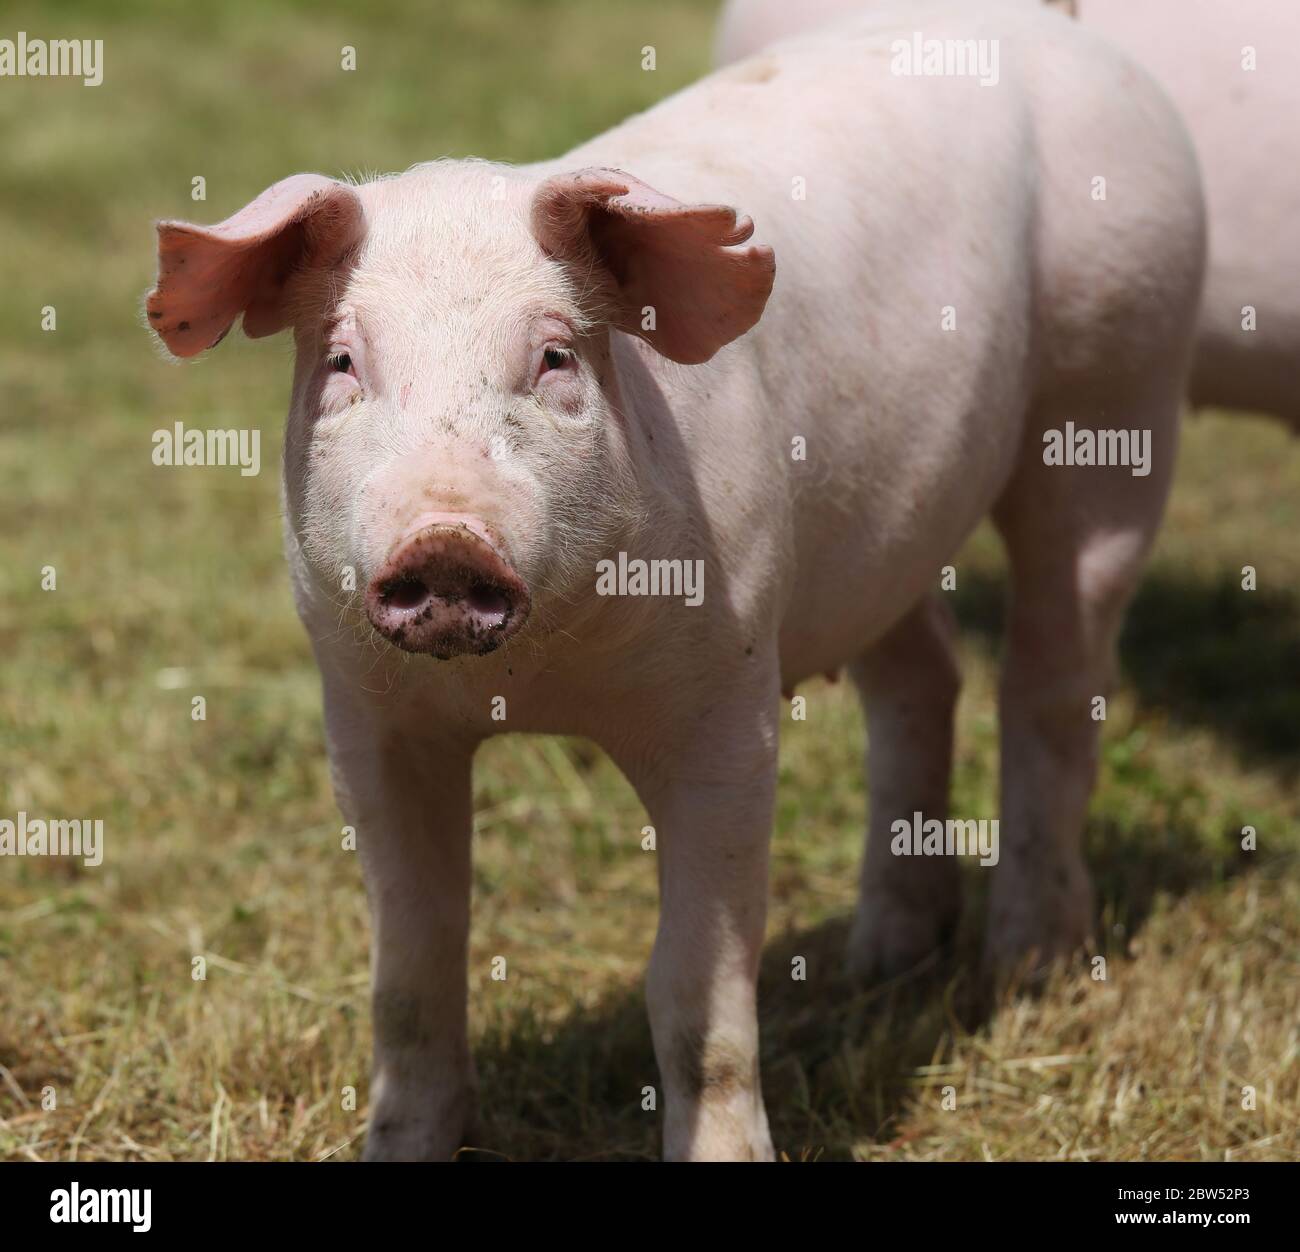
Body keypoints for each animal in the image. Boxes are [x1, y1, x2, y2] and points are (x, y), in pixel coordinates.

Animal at [146, 0, 1204, 1160]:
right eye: (342, 364)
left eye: (556, 358)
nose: (445, 539)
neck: (533, 684)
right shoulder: (368, 714)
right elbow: (410, 982)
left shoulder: (727, 700)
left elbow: (695, 998)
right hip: (886, 520)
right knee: (922, 673)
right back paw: (882, 958)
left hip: (1120, 382)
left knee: (1055, 676)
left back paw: (1029, 962)